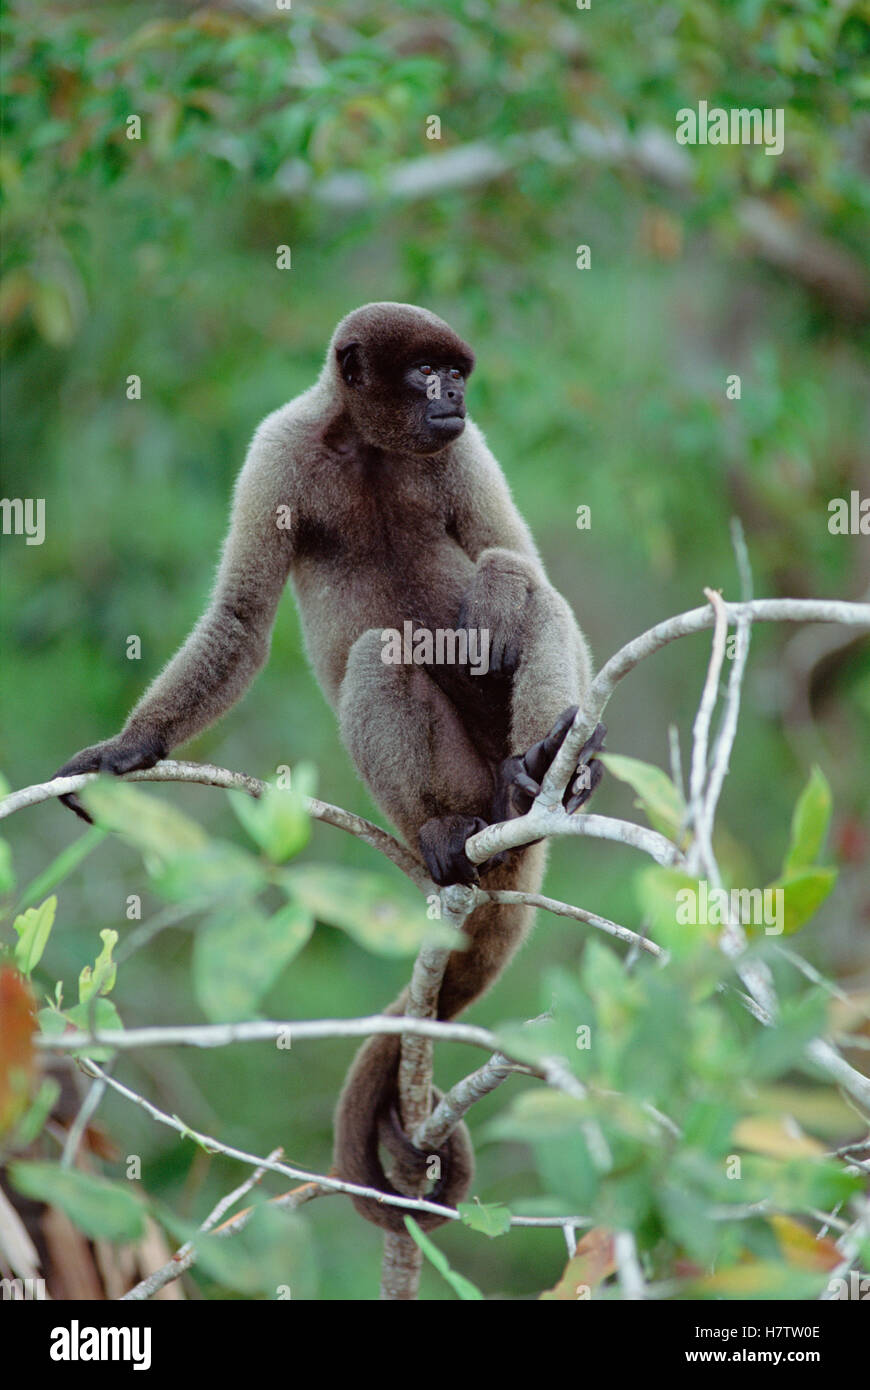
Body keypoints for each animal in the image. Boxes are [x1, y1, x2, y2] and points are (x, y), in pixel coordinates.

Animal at [54, 302, 604, 1231]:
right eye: (426, 373)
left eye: (456, 377)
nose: (454, 395)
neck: (371, 446)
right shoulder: (278, 446)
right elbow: (241, 619)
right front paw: (131, 746)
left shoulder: (464, 448)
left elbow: (521, 562)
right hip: (453, 782)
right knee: (384, 655)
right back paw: (455, 826)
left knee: (519, 588)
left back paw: (548, 770)